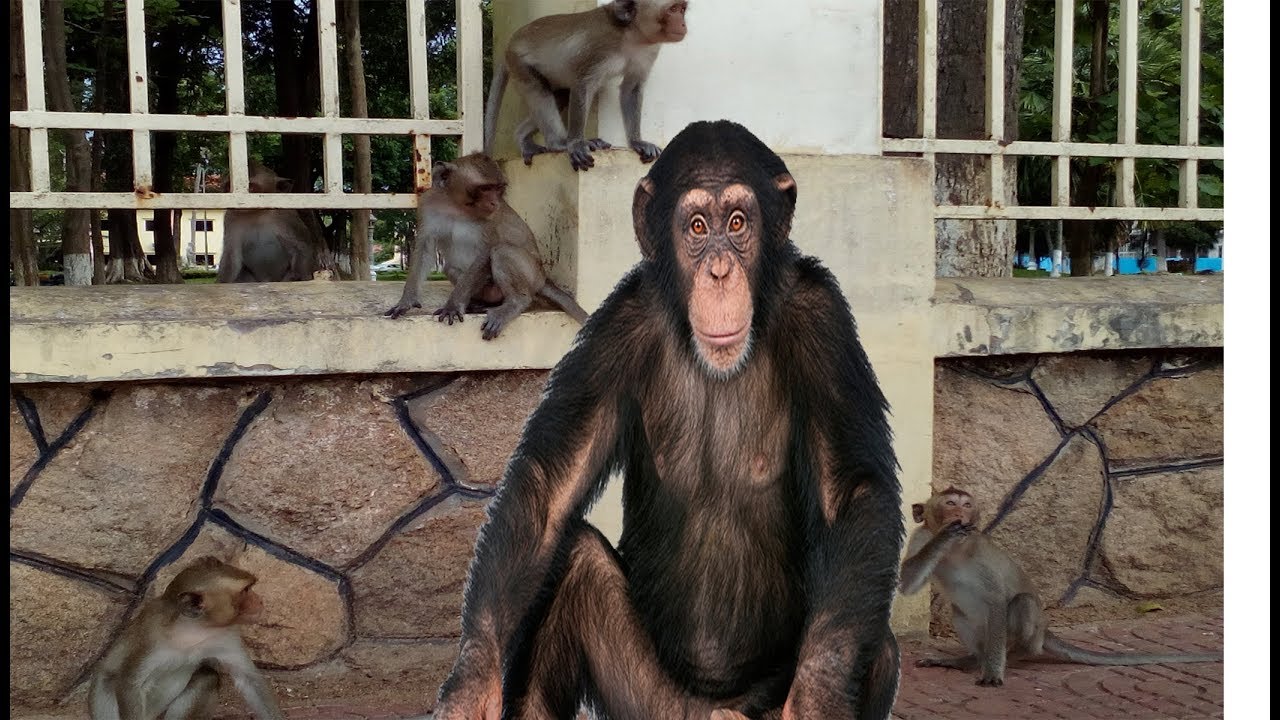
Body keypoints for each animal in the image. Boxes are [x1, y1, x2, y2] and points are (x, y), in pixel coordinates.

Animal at [88, 556, 284, 720]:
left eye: (250, 588)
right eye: (245, 591)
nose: (260, 600)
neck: (191, 631)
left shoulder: (225, 636)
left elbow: (249, 679)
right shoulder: (150, 639)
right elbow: (130, 682)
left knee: (207, 677)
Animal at [384, 153, 589, 340]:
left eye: (497, 188)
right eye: (485, 188)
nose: (494, 202)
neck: (457, 205)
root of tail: (545, 278)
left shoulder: (490, 220)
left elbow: (486, 252)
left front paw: (453, 305)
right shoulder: (429, 205)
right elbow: (425, 248)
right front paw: (406, 301)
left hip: (532, 275)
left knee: (502, 251)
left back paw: (515, 302)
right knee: (450, 267)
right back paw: (476, 304)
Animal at [432, 121, 902, 720]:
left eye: (738, 223)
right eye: (697, 227)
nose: (720, 270)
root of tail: (716, 711)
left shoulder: (824, 320)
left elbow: (851, 493)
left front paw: (818, 696)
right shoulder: (617, 326)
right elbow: (549, 489)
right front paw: (472, 682)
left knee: (878, 644)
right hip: (650, 701)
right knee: (574, 560)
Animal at [483, 0, 689, 171]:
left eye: (682, 9)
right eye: (673, 9)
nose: (683, 24)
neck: (632, 33)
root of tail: (509, 45)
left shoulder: (648, 51)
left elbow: (631, 89)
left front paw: (637, 142)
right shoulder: (599, 48)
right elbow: (583, 84)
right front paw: (575, 143)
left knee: (560, 96)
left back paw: (522, 137)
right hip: (519, 64)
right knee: (538, 92)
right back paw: (559, 143)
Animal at [898, 486, 1223, 687]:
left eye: (966, 504)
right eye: (950, 503)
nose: (960, 515)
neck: (957, 549)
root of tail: (1044, 632)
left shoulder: (979, 550)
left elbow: (997, 600)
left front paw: (993, 672)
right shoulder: (921, 536)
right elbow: (905, 583)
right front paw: (945, 534)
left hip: (1025, 632)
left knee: (1022, 602)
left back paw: (1016, 655)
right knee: (960, 611)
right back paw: (969, 660)